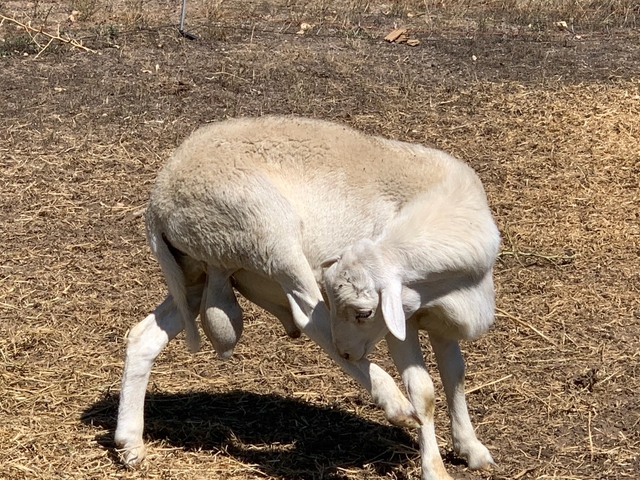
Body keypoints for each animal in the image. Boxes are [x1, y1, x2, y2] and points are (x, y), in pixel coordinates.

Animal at [114, 116, 499, 480]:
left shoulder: (443, 320)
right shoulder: (399, 322)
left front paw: (471, 448)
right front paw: (434, 467)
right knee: (306, 315)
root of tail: (158, 202)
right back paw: (393, 402)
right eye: (365, 311)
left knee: (143, 337)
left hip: (195, 271)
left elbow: (454, 373)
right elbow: (424, 391)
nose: (348, 351)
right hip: (269, 233)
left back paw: (129, 444)